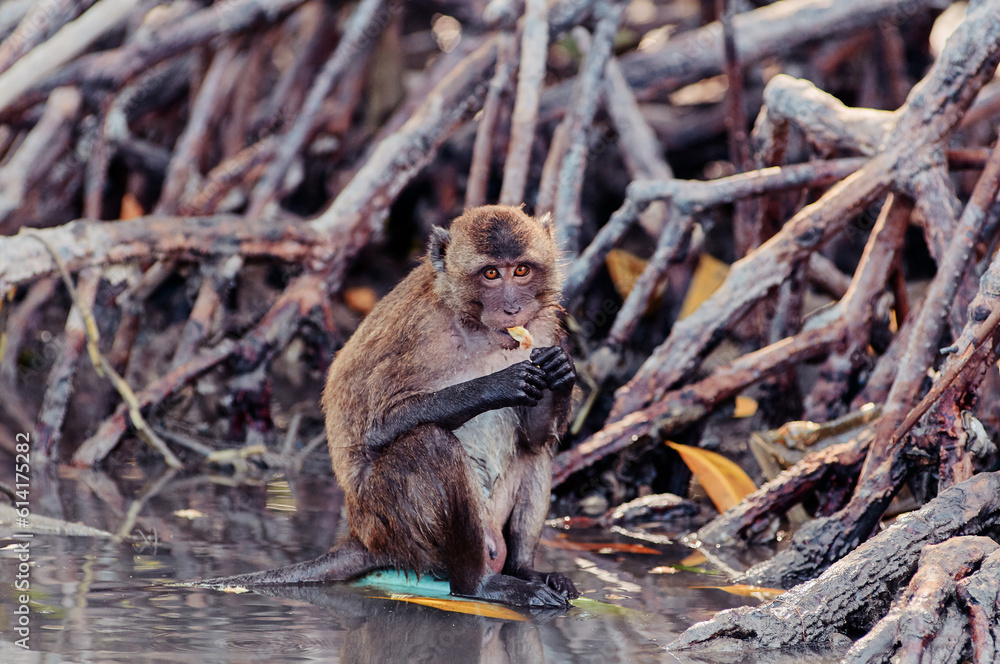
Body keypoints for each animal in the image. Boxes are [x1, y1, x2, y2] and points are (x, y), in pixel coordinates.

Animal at [199, 205, 577, 608]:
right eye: (491, 273)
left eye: (521, 270)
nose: (512, 308)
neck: (474, 326)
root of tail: (362, 536)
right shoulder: (420, 333)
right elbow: (377, 427)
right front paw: (498, 385)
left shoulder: (543, 328)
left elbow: (537, 438)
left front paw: (561, 370)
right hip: (395, 526)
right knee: (429, 444)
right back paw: (479, 585)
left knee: (536, 454)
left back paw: (524, 570)